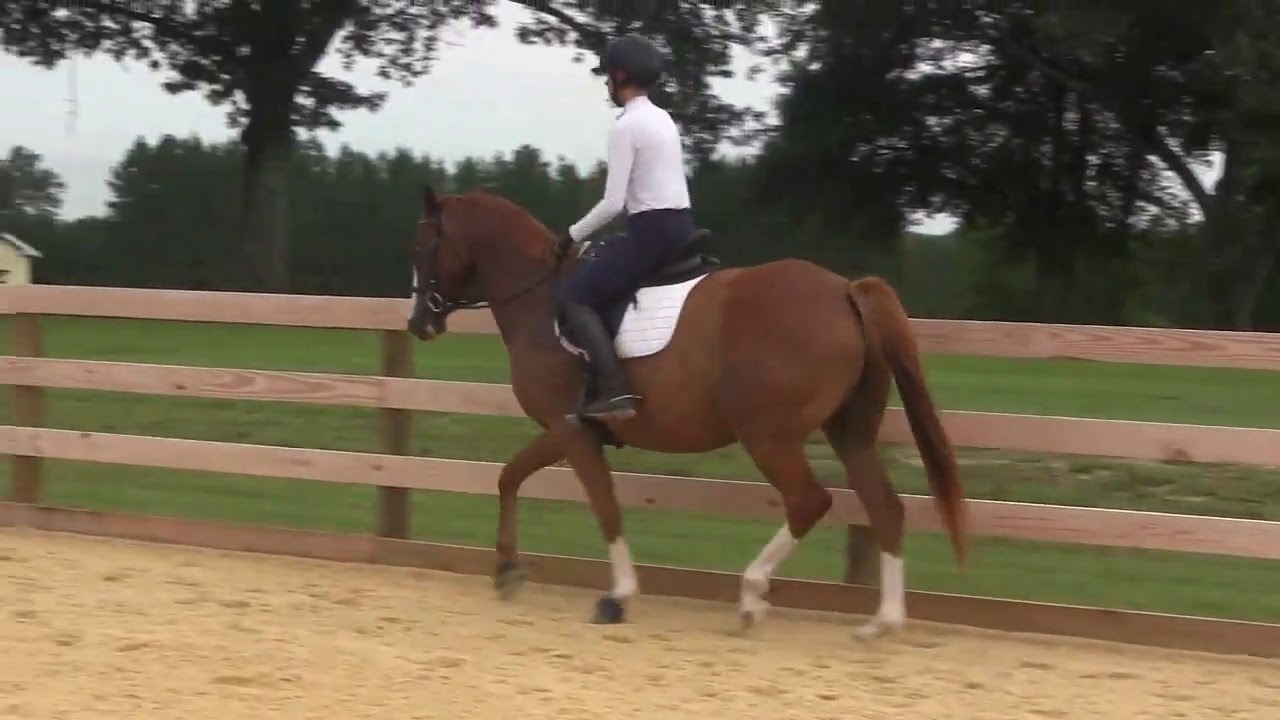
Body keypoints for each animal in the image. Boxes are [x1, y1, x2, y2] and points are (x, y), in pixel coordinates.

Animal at [406, 183, 967, 638]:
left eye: (425, 244)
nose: (418, 324)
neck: (540, 299)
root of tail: (844, 289)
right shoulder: (568, 429)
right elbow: (509, 477)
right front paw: (506, 570)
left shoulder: (572, 433)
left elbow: (604, 506)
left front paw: (618, 597)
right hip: (849, 432)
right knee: (885, 507)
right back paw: (883, 621)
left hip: (768, 435)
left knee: (809, 501)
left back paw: (752, 596)